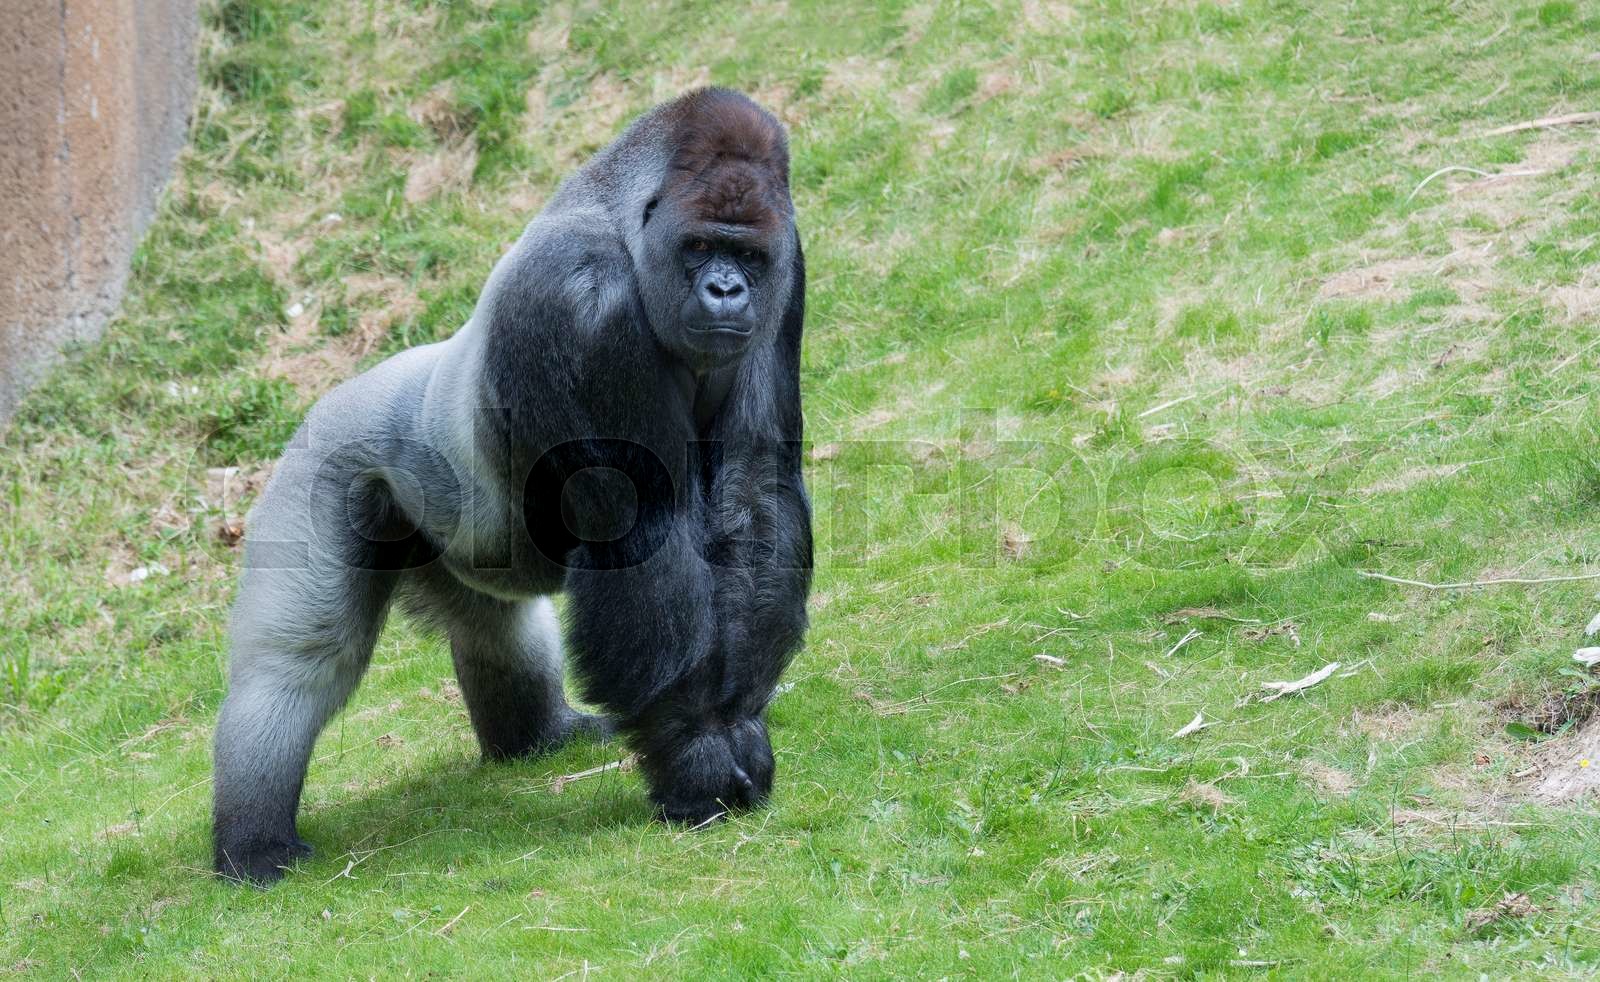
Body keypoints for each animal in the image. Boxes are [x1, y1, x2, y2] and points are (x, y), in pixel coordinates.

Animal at [212, 88, 812, 884]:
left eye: (747, 254)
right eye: (698, 248)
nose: (725, 290)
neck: (625, 218)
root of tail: (338, 395)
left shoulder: (789, 268)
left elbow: (757, 487)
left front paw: (735, 723)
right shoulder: (582, 297)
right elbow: (640, 531)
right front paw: (697, 755)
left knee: (495, 624)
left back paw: (540, 736)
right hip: (323, 464)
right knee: (299, 662)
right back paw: (254, 845)